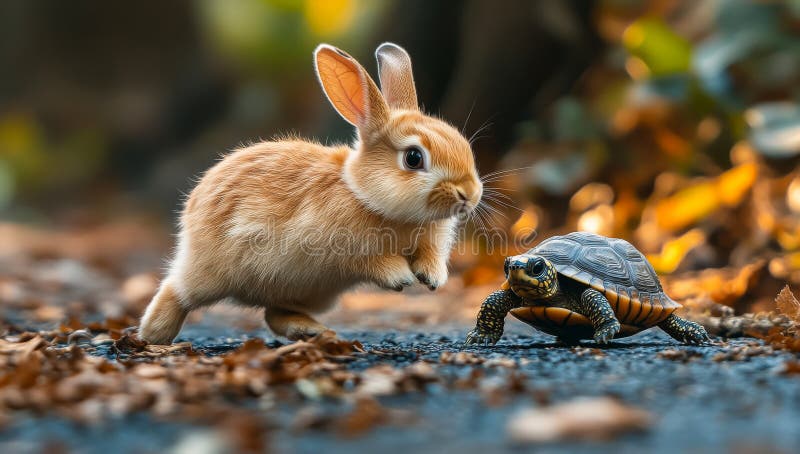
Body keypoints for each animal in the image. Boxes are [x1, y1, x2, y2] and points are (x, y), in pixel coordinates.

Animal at [139, 43, 483, 344]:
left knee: (274, 313)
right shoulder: (347, 248)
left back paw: (314, 332)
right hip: (210, 272)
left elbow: (430, 256)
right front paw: (403, 278)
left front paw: (432, 279)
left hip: (306, 292)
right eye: (413, 158)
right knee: (176, 291)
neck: (362, 193)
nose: (469, 194)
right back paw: (153, 335)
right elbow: (373, 261)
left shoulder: (431, 242)